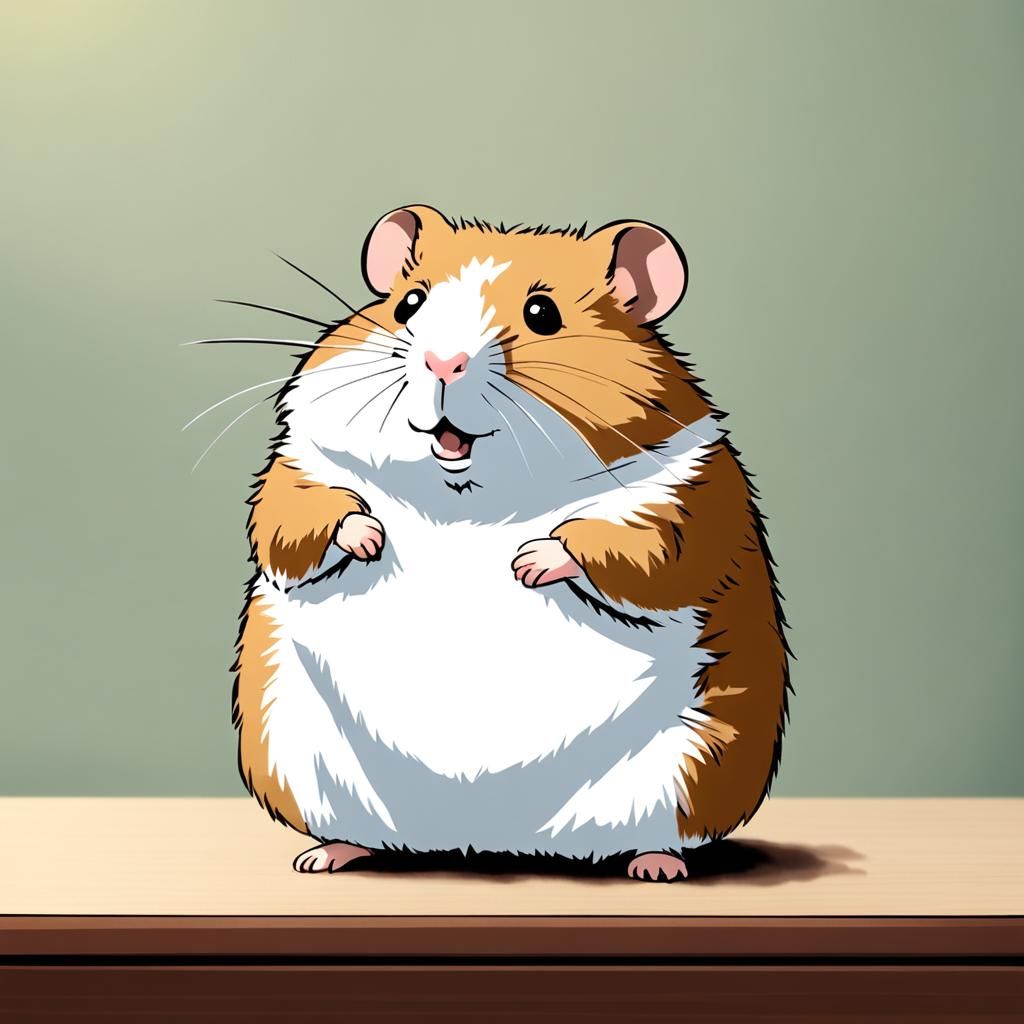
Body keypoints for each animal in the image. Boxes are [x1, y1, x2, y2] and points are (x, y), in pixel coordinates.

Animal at [231, 206, 791, 882]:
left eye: (542, 313)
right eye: (409, 304)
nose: (442, 362)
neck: (468, 495)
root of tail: (481, 835)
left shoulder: (685, 499)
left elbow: (639, 546)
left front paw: (527, 562)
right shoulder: (301, 466)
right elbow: (292, 519)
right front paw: (370, 537)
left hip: (693, 766)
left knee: (663, 832)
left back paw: (657, 867)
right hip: (291, 749)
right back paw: (323, 856)